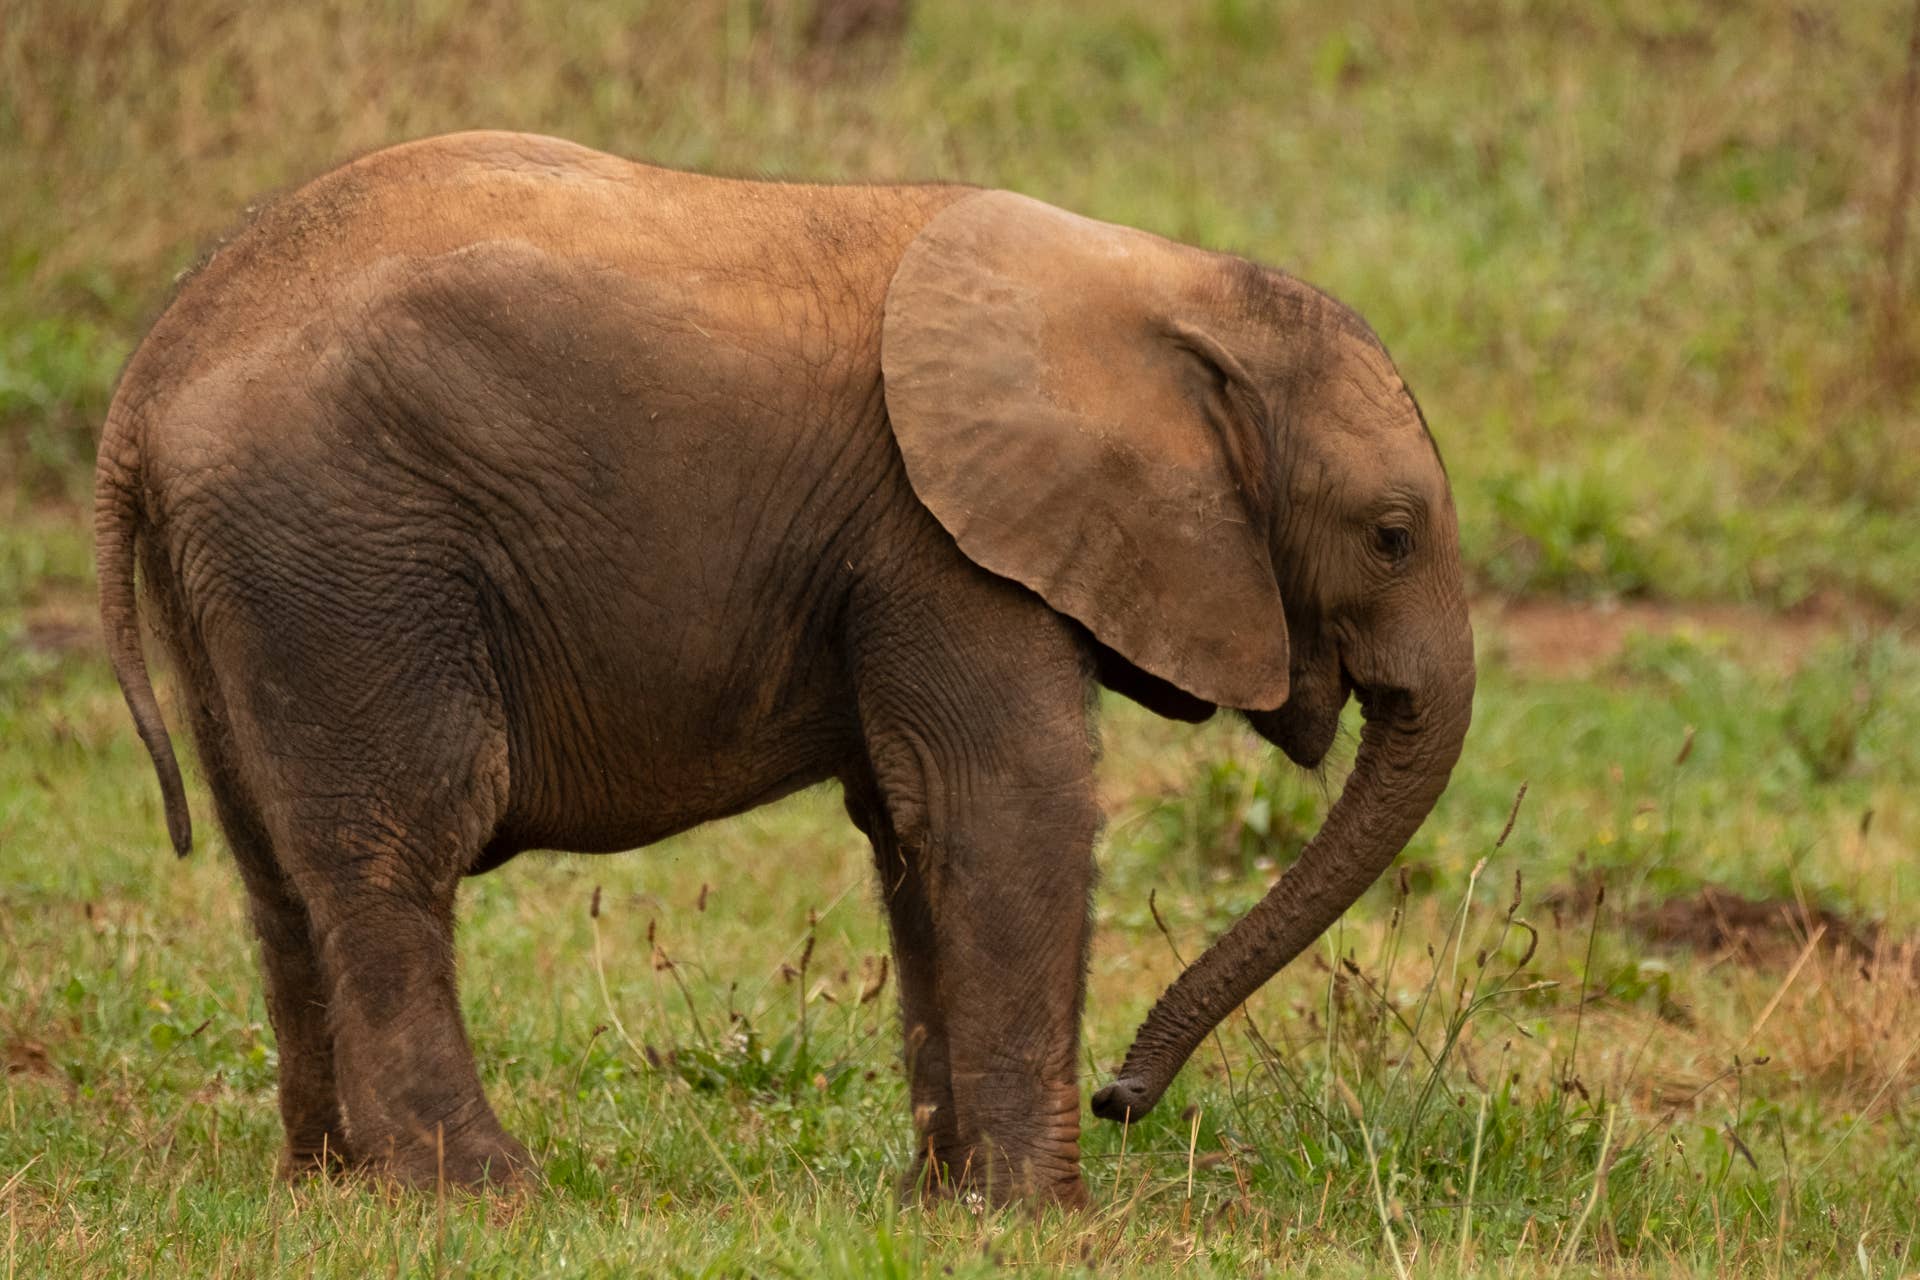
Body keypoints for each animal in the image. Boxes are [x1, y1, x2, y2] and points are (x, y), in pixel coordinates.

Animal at [95, 131, 1473, 1206]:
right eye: (1392, 535)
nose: (1124, 1093)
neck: (1154, 278)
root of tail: (148, 376)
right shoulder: (938, 537)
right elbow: (1007, 803)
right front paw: (1042, 1217)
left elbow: (915, 826)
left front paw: (943, 1205)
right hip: (347, 554)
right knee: (398, 843)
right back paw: (484, 1191)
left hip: (255, 574)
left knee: (275, 866)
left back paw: (330, 1182)